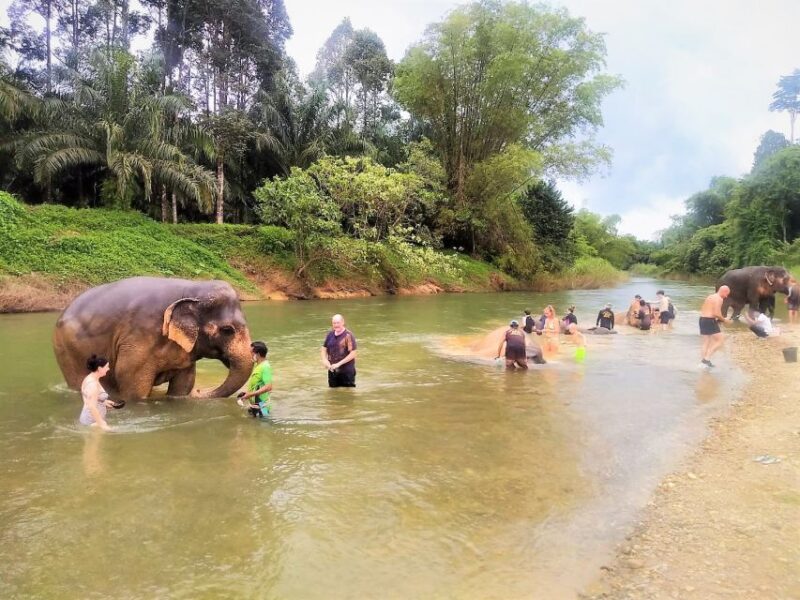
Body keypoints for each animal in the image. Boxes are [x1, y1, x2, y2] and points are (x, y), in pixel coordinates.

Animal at [53, 277, 253, 400]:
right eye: (227, 330)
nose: (198, 392)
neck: (192, 288)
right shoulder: (139, 336)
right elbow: (130, 382)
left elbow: (183, 383)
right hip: (69, 353)